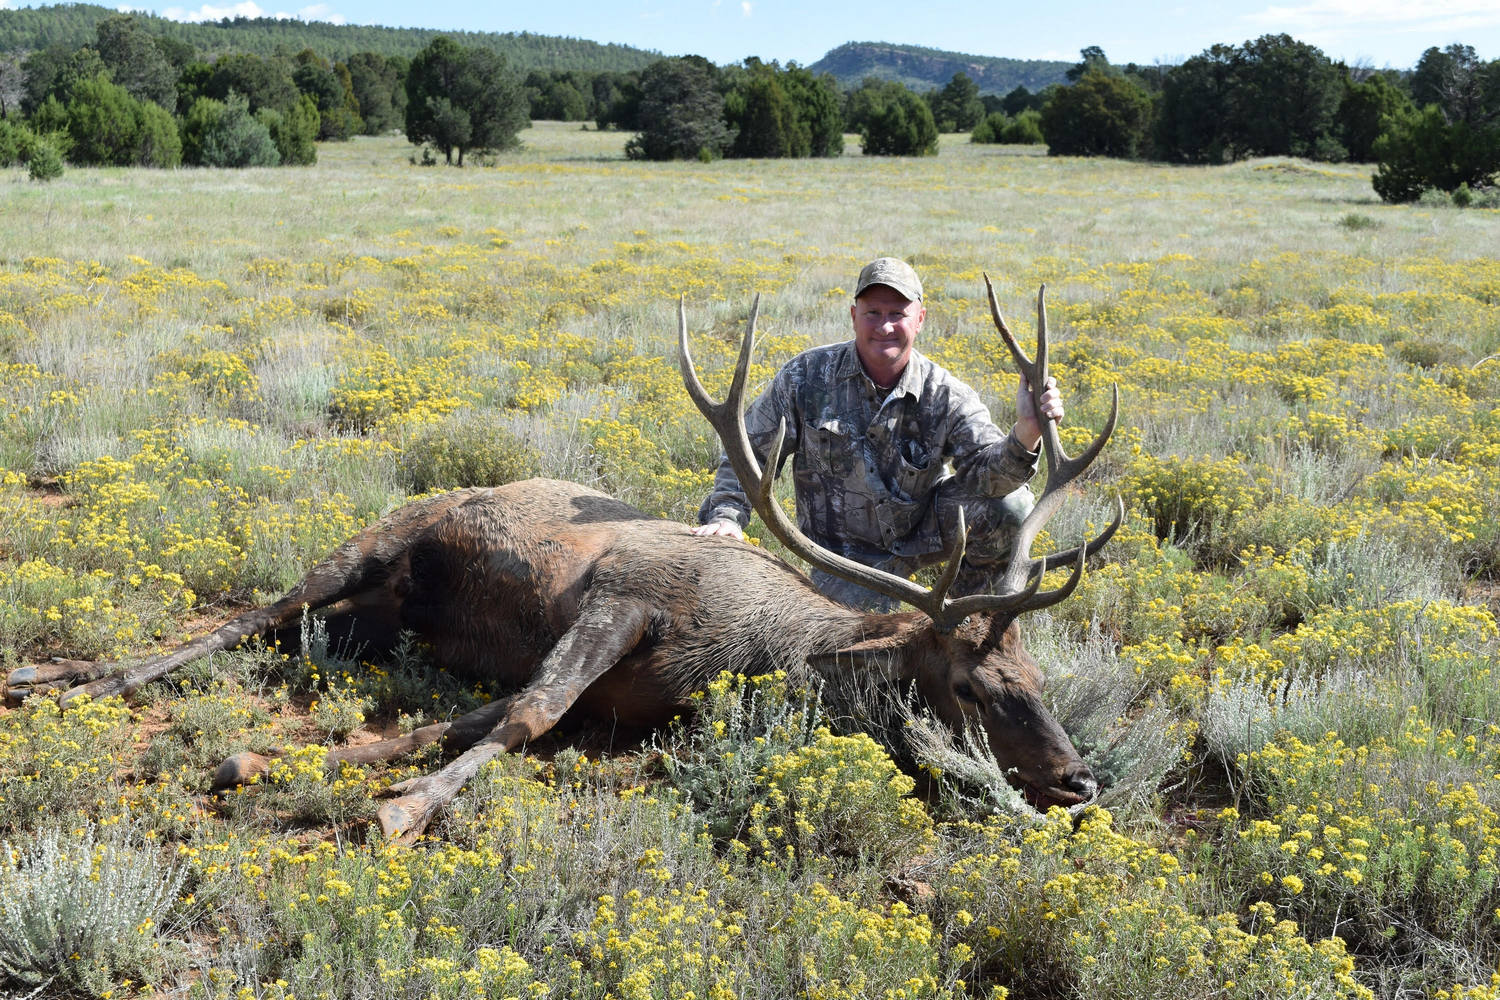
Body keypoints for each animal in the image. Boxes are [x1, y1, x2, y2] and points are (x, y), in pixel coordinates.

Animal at [5, 278, 1120, 844]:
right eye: (972, 686)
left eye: (1037, 674)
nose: (1078, 780)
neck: (744, 654)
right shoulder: (623, 598)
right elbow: (528, 713)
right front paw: (399, 810)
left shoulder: (621, 695)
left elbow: (475, 717)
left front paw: (275, 761)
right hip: (369, 544)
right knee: (239, 618)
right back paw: (65, 684)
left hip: (371, 617)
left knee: (281, 630)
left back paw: (48, 675)